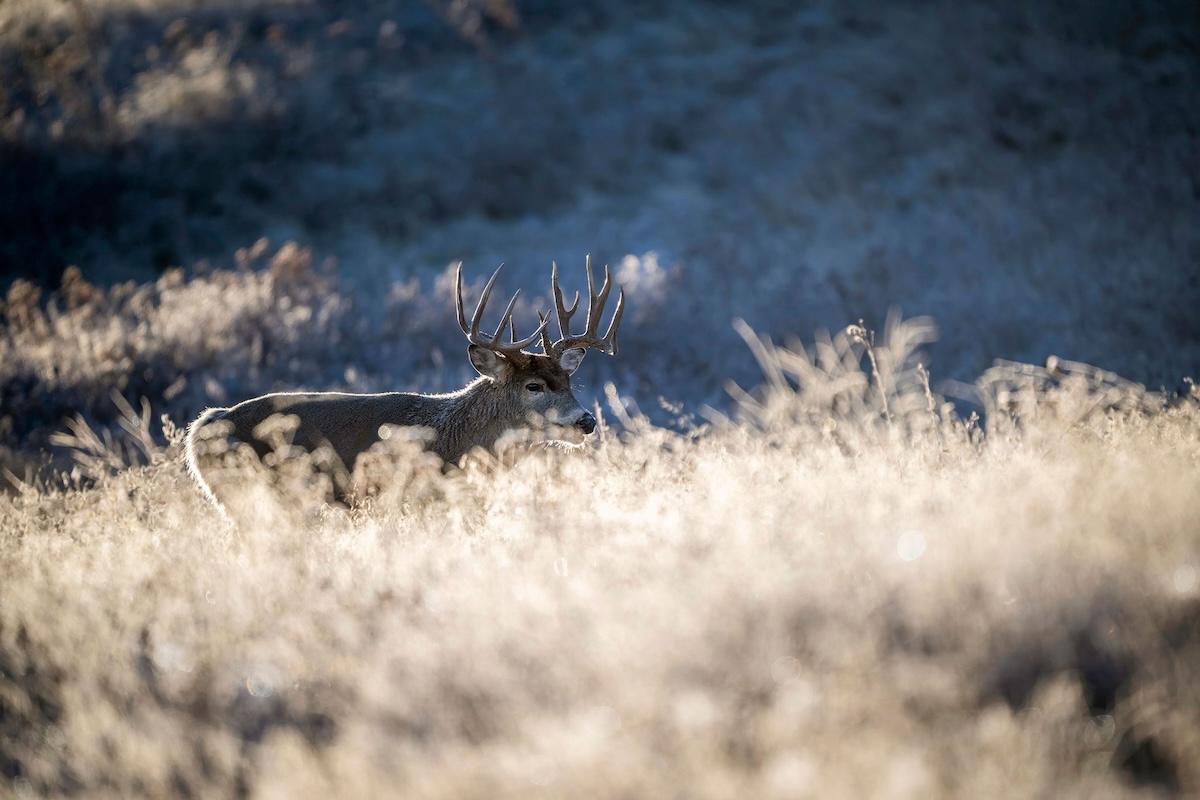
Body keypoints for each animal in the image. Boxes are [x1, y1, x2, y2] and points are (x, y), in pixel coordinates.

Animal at [184, 259, 624, 508]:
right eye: (533, 386)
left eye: (569, 382)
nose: (586, 421)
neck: (452, 441)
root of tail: (203, 425)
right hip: (246, 495)